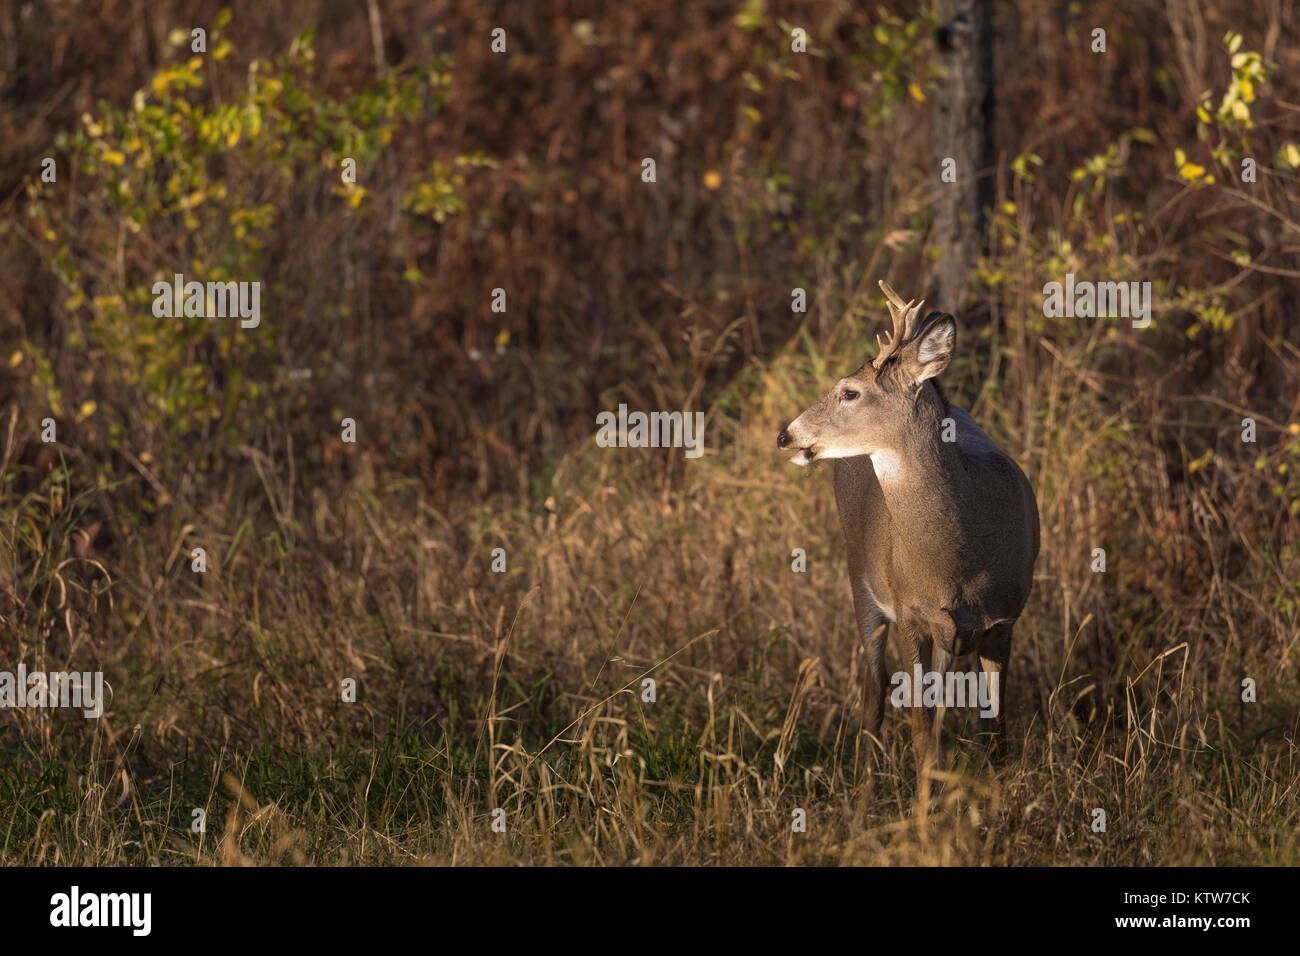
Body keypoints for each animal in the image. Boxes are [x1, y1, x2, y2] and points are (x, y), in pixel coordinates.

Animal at [776, 280, 1039, 782]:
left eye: (849, 392)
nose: (785, 435)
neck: (959, 559)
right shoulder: (911, 615)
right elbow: (923, 736)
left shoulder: (1003, 621)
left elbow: (994, 736)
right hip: (860, 578)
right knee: (873, 694)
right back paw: (863, 789)